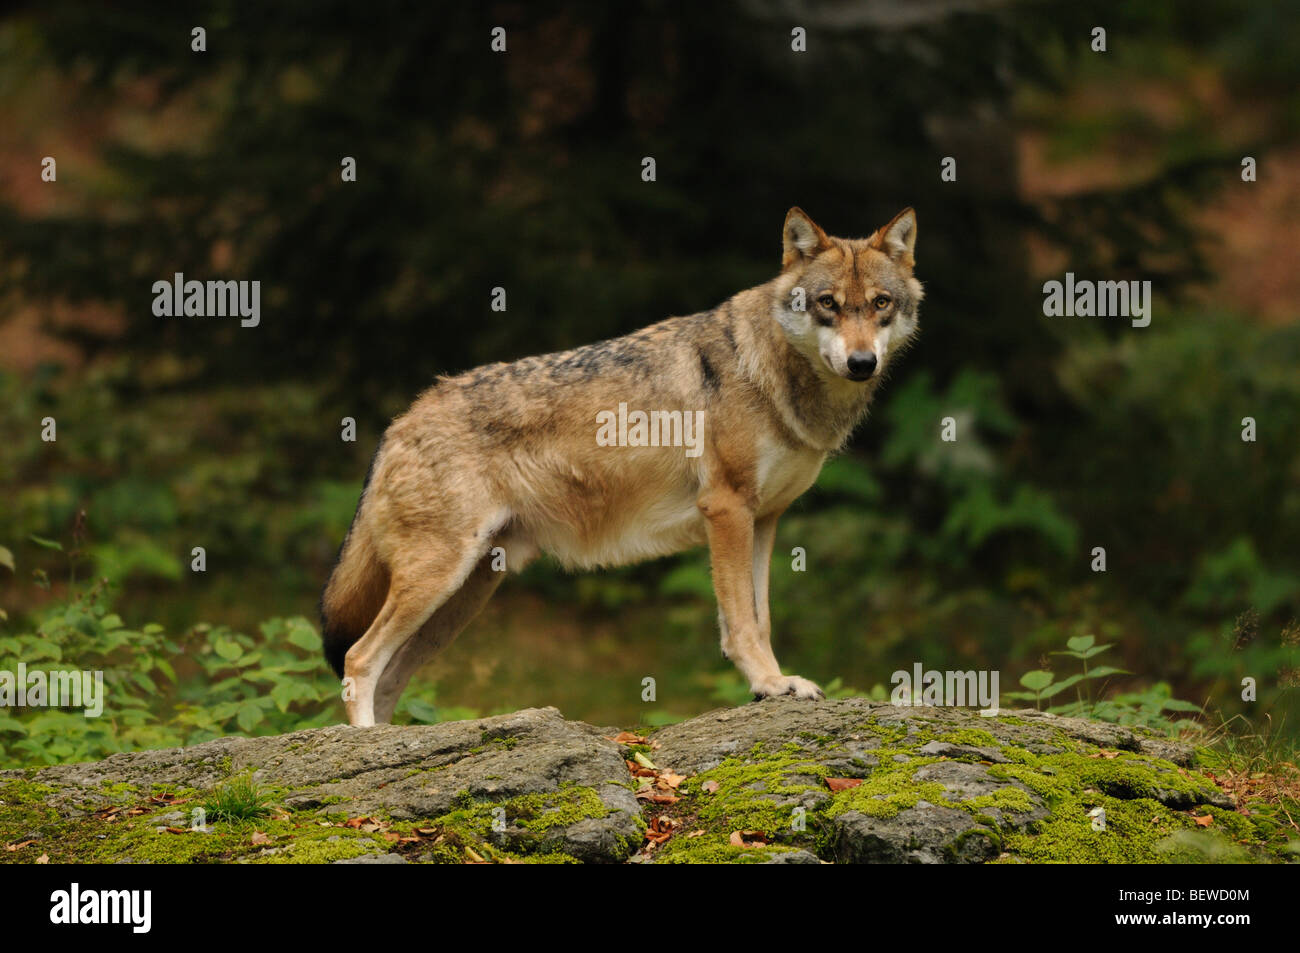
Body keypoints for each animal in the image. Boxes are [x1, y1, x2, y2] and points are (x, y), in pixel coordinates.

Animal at [321, 207, 922, 725]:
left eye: (880, 304)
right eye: (828, 304)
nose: (862, 363)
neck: (774, 371)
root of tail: (400, 420)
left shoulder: (766, 519)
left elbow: (762, 616)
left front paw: (775, 684)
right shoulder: (726, 509)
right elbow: (741, 624)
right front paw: (769, 684)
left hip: (461, 597)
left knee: (389, 678)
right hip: (438, 579)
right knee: (358, 660)